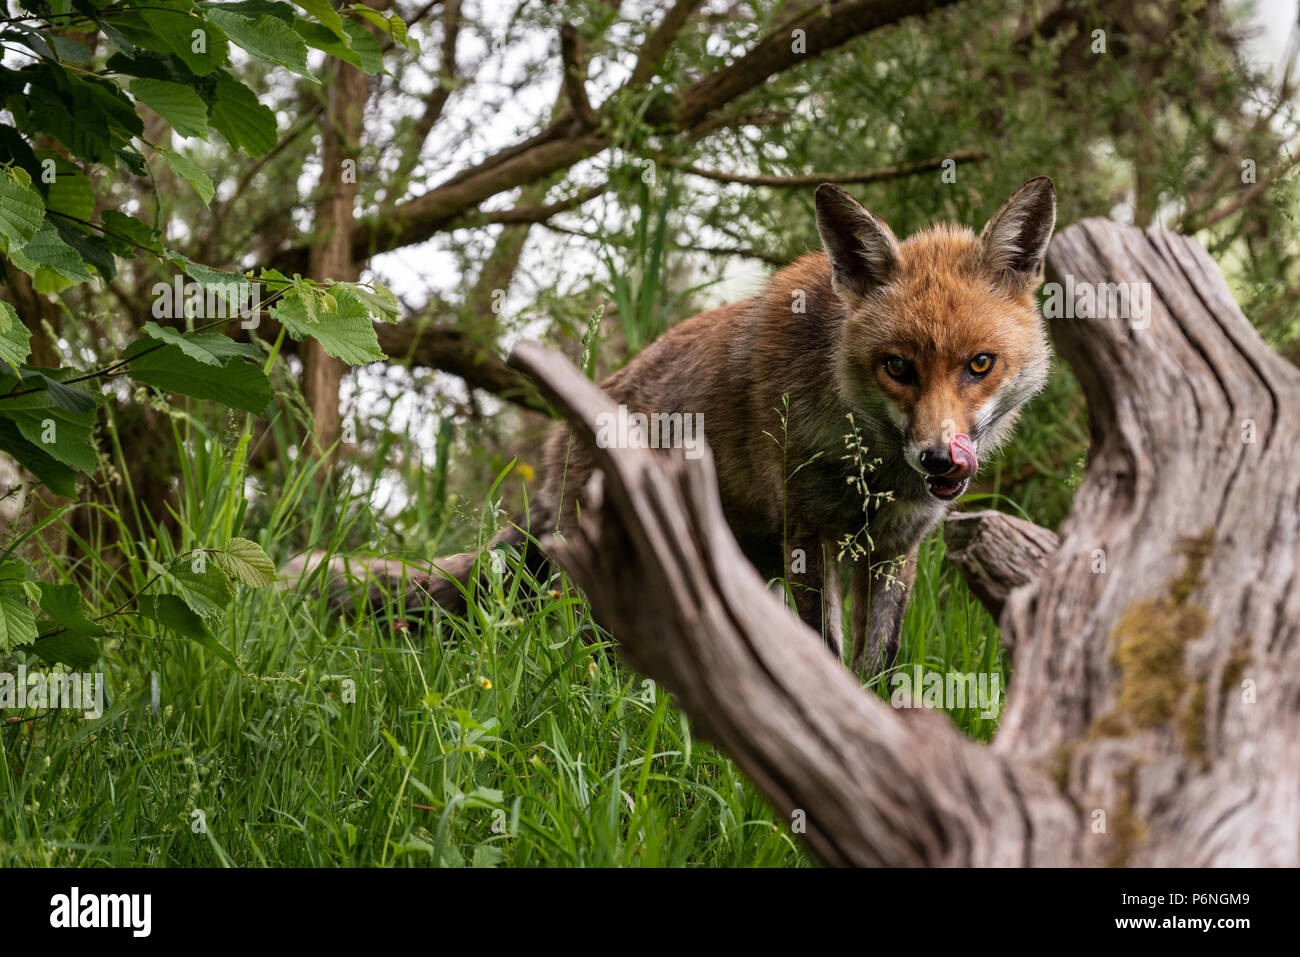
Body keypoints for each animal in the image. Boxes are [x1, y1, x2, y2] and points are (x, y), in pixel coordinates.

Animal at [310, 176, 1056, 675]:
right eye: (898, 366)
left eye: (980, 364)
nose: (940, 460)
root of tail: (559, 440)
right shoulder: (809, 532)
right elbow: (825, 648)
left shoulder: (895, 548)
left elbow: (878, 663)